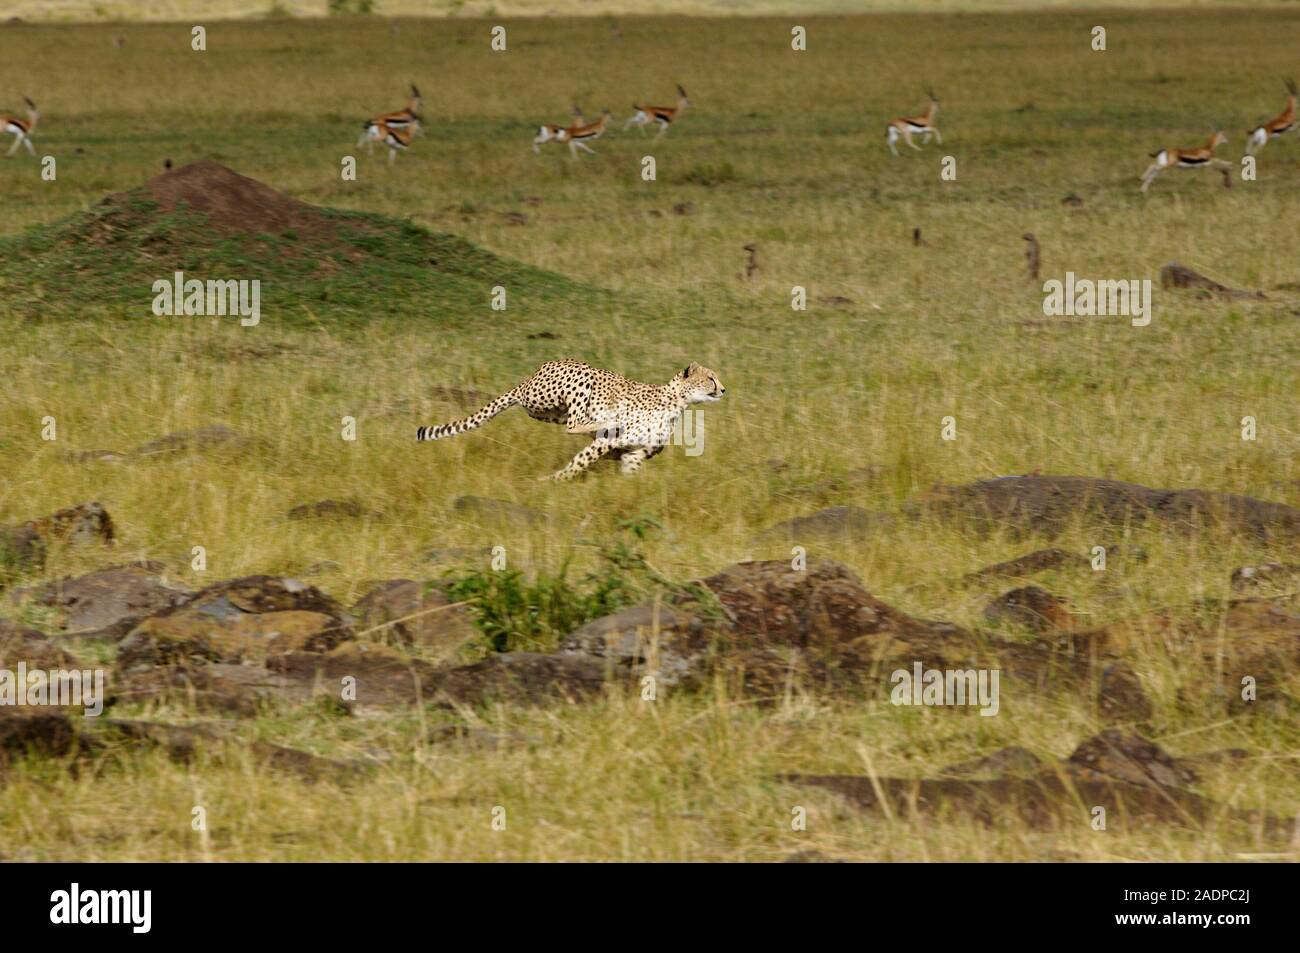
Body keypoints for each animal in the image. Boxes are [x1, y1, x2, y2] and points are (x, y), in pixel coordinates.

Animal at [416, 360, 725, 481]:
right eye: (711, 378)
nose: (724, 389)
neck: (677, 403)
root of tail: (526, 380)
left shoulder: (635, 453)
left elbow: (629, 471)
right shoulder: (608, 444)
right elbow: (579, 462)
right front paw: (555, 480)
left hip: (549, 411)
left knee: (570, 422)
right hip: (582, 375)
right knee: (575, 425)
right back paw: (604, 422)